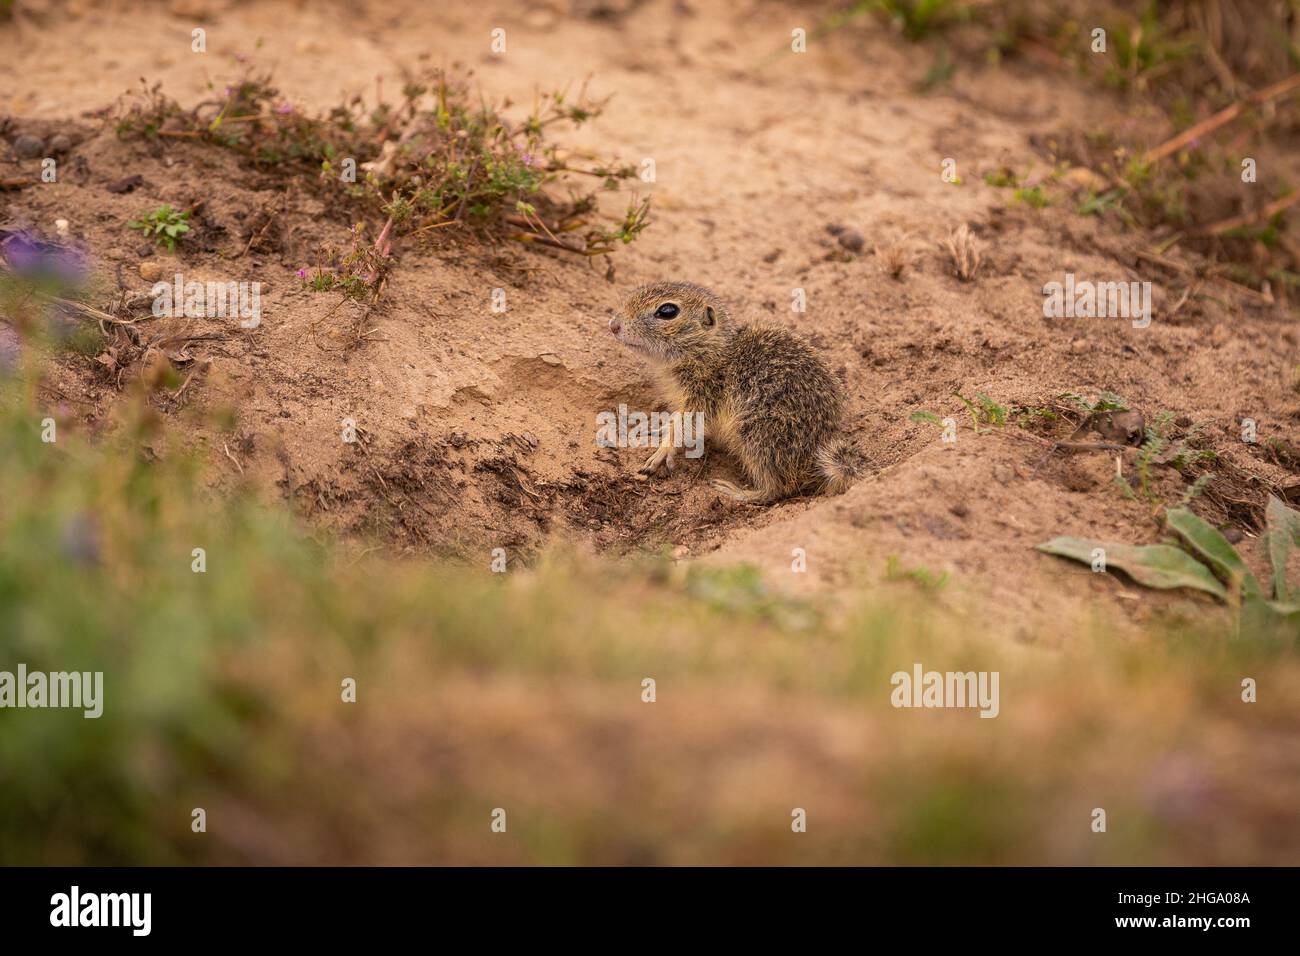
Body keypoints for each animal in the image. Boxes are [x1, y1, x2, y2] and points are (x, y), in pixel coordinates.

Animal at [609, 280, 865, 503]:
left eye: (667, 311)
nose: (613, 325)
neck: (709, 351)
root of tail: (814, 458)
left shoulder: (703, 393)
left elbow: (686, 426)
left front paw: (663, 451)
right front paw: (657, 427)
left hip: (756, 433)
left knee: (778, 488)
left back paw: (738, 492)